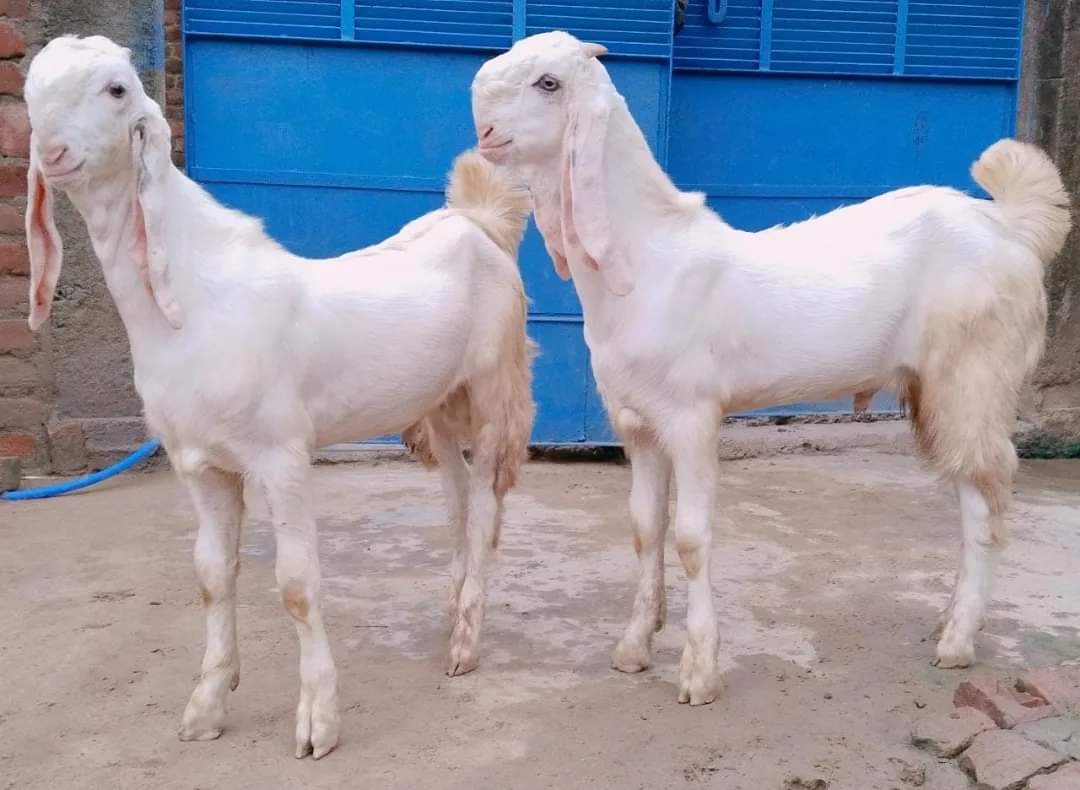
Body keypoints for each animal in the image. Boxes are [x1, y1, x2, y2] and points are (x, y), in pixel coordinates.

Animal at [25, 35, 535, 759]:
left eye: (116, 90)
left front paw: (319, 722)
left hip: (492, 385)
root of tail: (478, 222)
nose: (52, 152)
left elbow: (295, 584)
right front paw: (206, 706)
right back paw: (453, 608)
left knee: (487, 499)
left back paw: (465, 643)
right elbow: (211, 577)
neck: (195, 299)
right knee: (459, 500)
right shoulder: (199, 463)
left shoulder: (281, 454)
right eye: (29, 92)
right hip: (437, 403)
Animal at [471, 31, 1071, 706]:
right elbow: (645, 529)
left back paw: (958, 640)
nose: (483, 126)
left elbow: (690, 537)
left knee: (982, 498)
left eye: (548, 83)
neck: (649, 260)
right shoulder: (638, 424)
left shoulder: (691, 418)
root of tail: (1012, 228)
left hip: (972, 379)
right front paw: (633, 647)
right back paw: (950, 620)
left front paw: (699, 671)